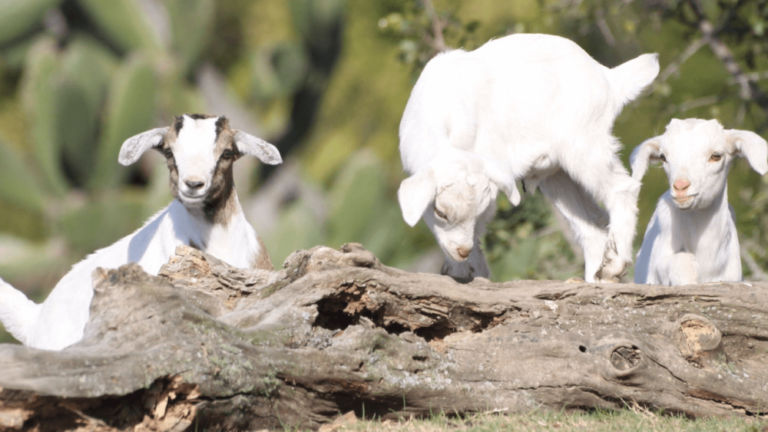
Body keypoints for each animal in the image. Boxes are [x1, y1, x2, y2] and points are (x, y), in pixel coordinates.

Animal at [397, 34, 659, 282]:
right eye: (440, 212)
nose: (462, 251)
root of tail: (608, 79)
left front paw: (464, 271)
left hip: (585, 144)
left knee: (621, 187)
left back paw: (613, 266)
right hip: (559, 176)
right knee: (593, 227)